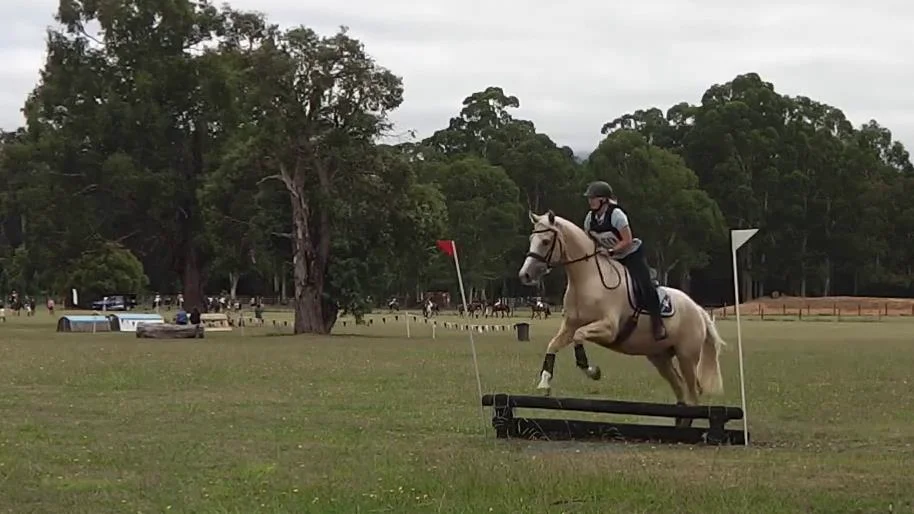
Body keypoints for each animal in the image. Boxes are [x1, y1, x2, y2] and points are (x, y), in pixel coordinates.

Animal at [517, 210, 726, 427]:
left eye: (546, 241)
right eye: (532, 239)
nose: (525, 275)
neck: (587, 279)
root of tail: (698, 309)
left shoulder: (608, 329)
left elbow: (579, 336)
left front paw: (592, 371)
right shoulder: (569, 326)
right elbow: (553, 345)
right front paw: (544, 382)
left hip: (687, 357)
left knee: (693, 396)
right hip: (660, 357)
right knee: (681, 391)